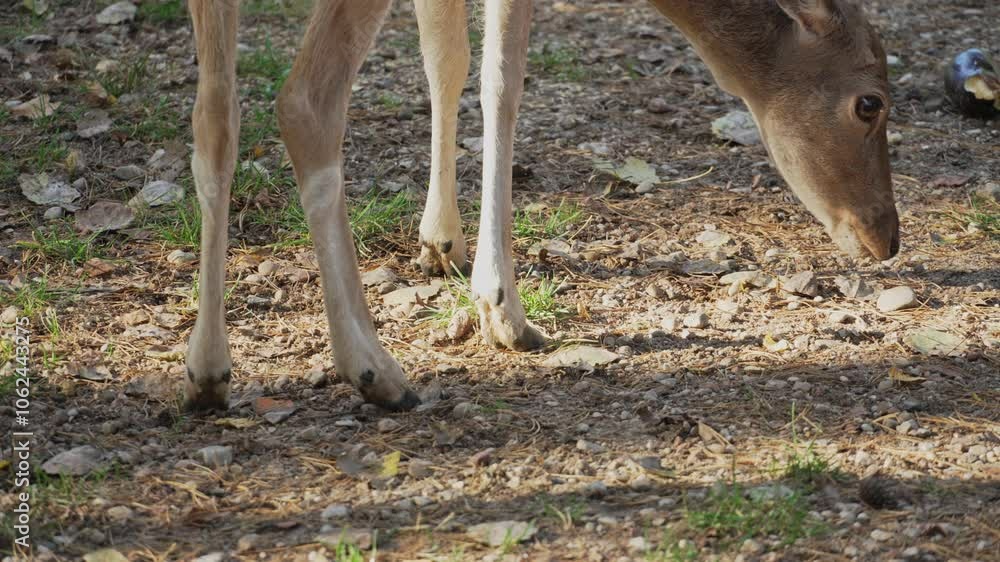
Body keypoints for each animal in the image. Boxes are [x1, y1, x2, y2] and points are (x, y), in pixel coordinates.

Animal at [184, 0, 900, 412]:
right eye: (871, 102)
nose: (886, 238)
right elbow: (503, 74)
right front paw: (504, 312)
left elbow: (446, 51)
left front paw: (440, 242)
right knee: (305, 100)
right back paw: (375, 369)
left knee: (214, 111)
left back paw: (207, 372)